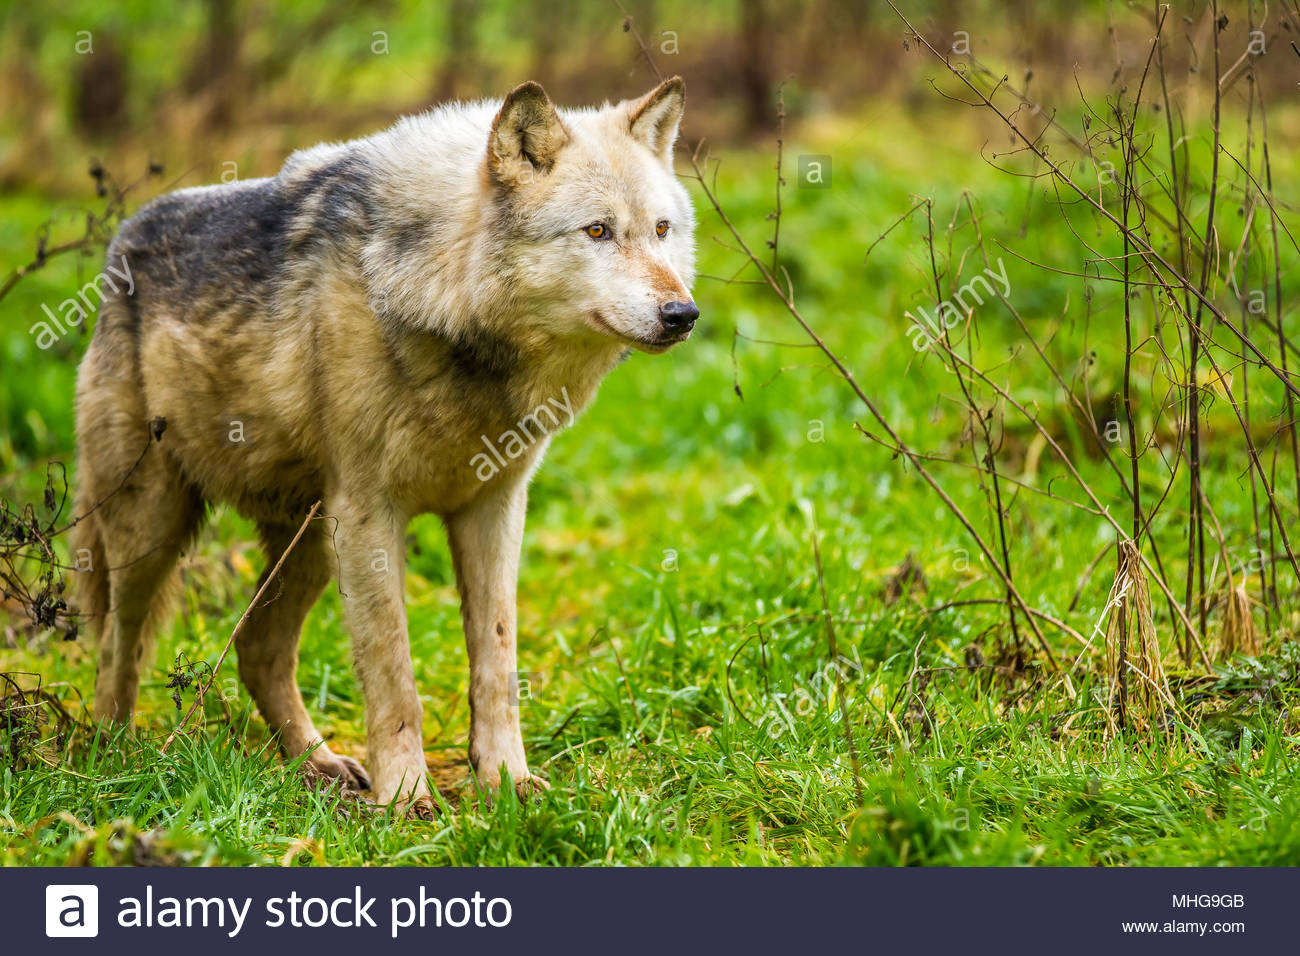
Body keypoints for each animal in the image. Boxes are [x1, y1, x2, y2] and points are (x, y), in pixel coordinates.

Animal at [72, 77, 698, 815]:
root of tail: (124, 239)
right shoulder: (372, 514)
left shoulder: (495, 508)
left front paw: (506, 782)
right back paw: (113, 763)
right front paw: (406, 799)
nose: (683, 315)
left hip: (310, 539)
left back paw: (319, 766)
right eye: (597, 231)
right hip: (156, 529)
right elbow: (394, 674)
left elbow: (497, 663)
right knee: (118, 646)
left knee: (257, 649)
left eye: (661, 230)